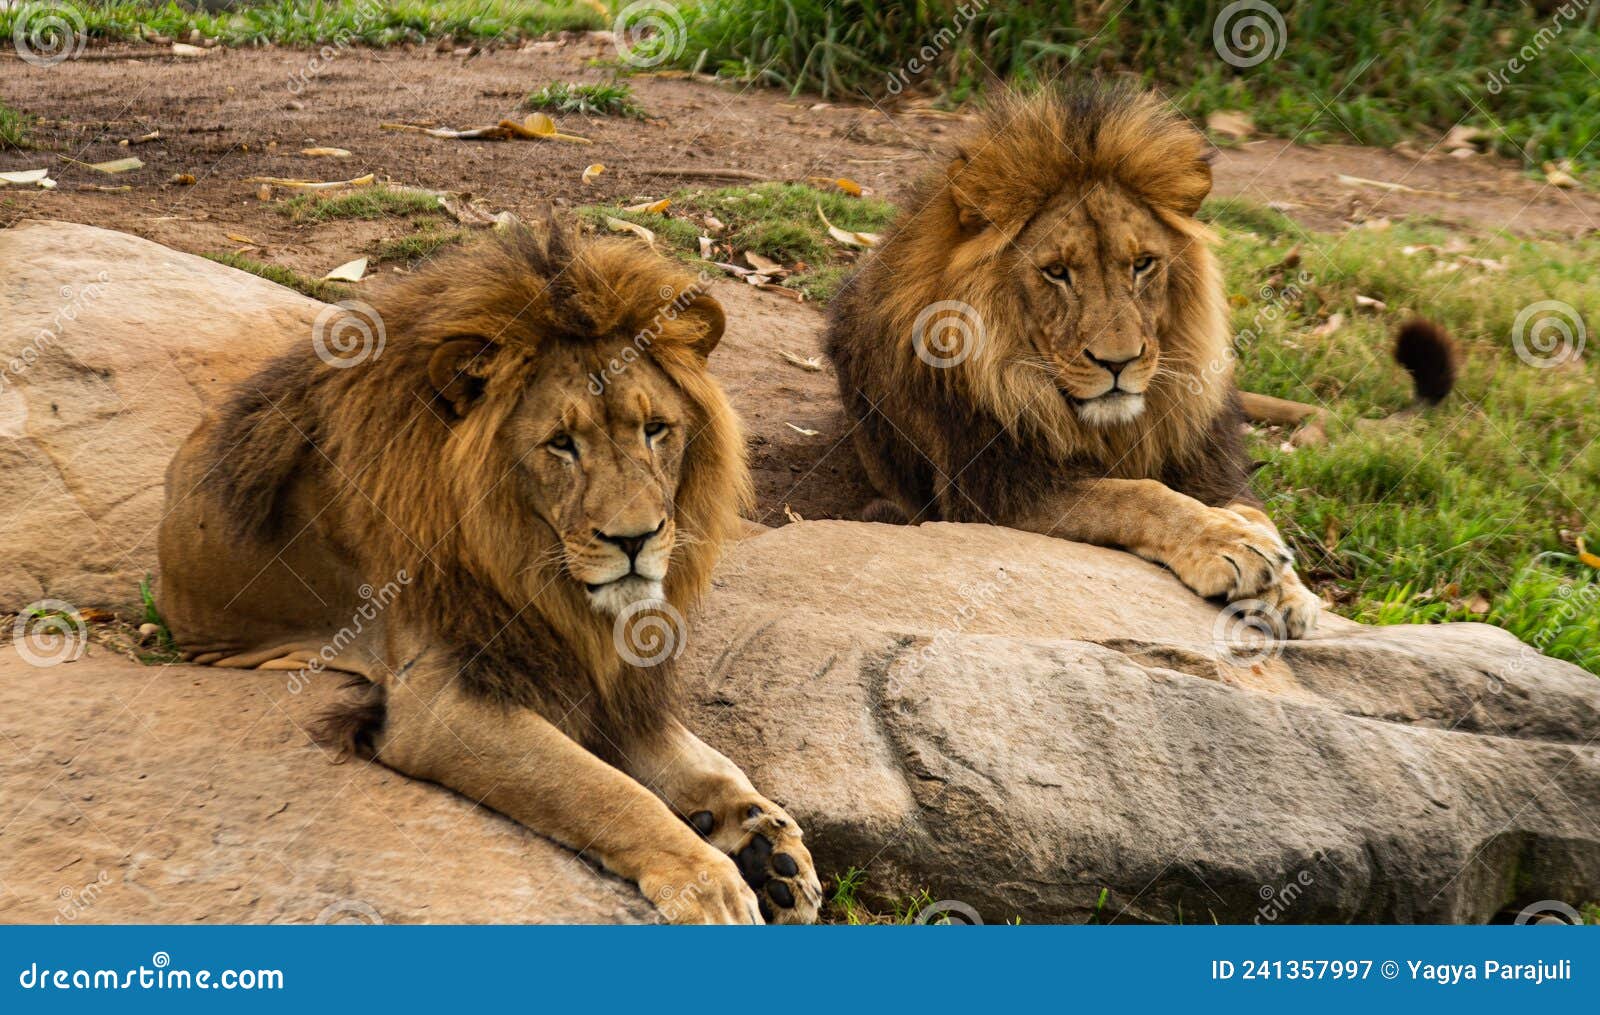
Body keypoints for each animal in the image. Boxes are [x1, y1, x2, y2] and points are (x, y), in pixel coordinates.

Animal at [156, 218, 821, 924]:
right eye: (561, 444)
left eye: (655, 430)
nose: (635, 538)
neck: (538, 575)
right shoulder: (439, 707)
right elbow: (603, 789)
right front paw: (708, 877)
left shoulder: (600, 677)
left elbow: (701, 760)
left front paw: (770, 843)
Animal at [825, 84, 1446, 638]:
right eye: (1056, 272)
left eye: (1143, 264)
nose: (1118, 362)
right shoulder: (992, 495)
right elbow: (1135, 495)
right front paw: (1230, 548)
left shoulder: (1209, 465)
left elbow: (1253, 512)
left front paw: (1284, 586)